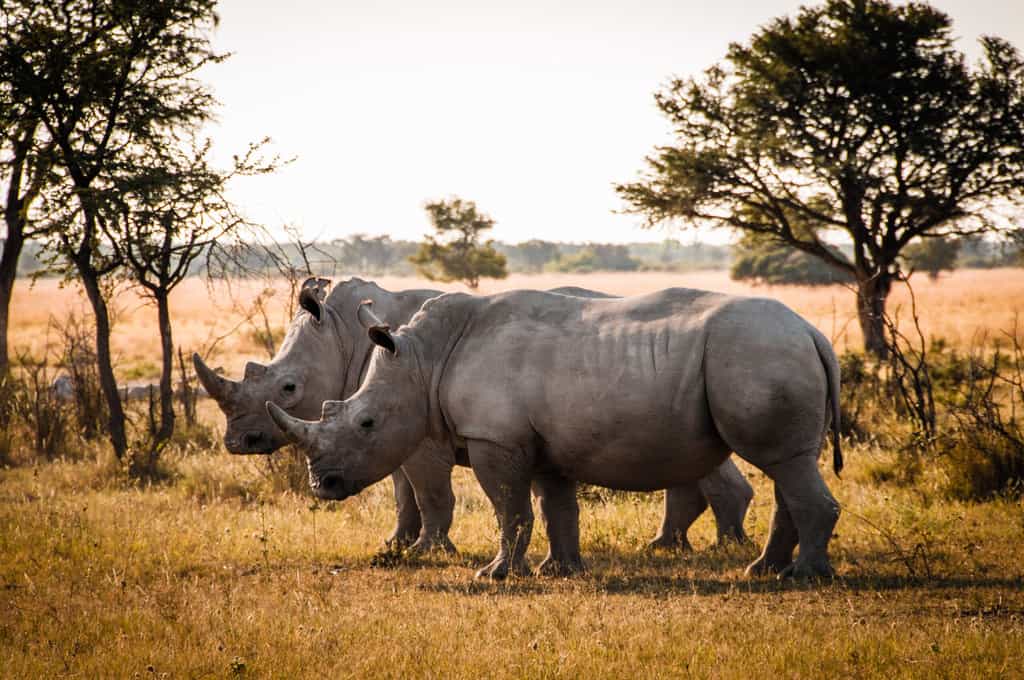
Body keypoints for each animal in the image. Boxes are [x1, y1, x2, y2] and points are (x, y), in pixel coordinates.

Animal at [195, 277, 754, 554]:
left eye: (288, 388)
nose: (237, 442)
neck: (343, 336)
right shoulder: (387, 424)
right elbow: (402, 489)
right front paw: (395, 545)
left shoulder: (412, 428)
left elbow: (426, 491)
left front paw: (426, 551)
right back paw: (668, 546)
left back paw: (724, 549)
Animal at [267, 288, 843, 579]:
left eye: (366, 423)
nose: (323, 486)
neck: (425, 362)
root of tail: (814, 332)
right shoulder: (541, 443)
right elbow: (555, 508)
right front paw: (559, 570)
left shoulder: (496, 438)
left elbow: (509, 508)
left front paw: (496, 576)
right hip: (774, 353)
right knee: (791, 464)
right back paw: (763, 571)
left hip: (760, 354)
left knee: (782, 462)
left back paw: (801, 577)